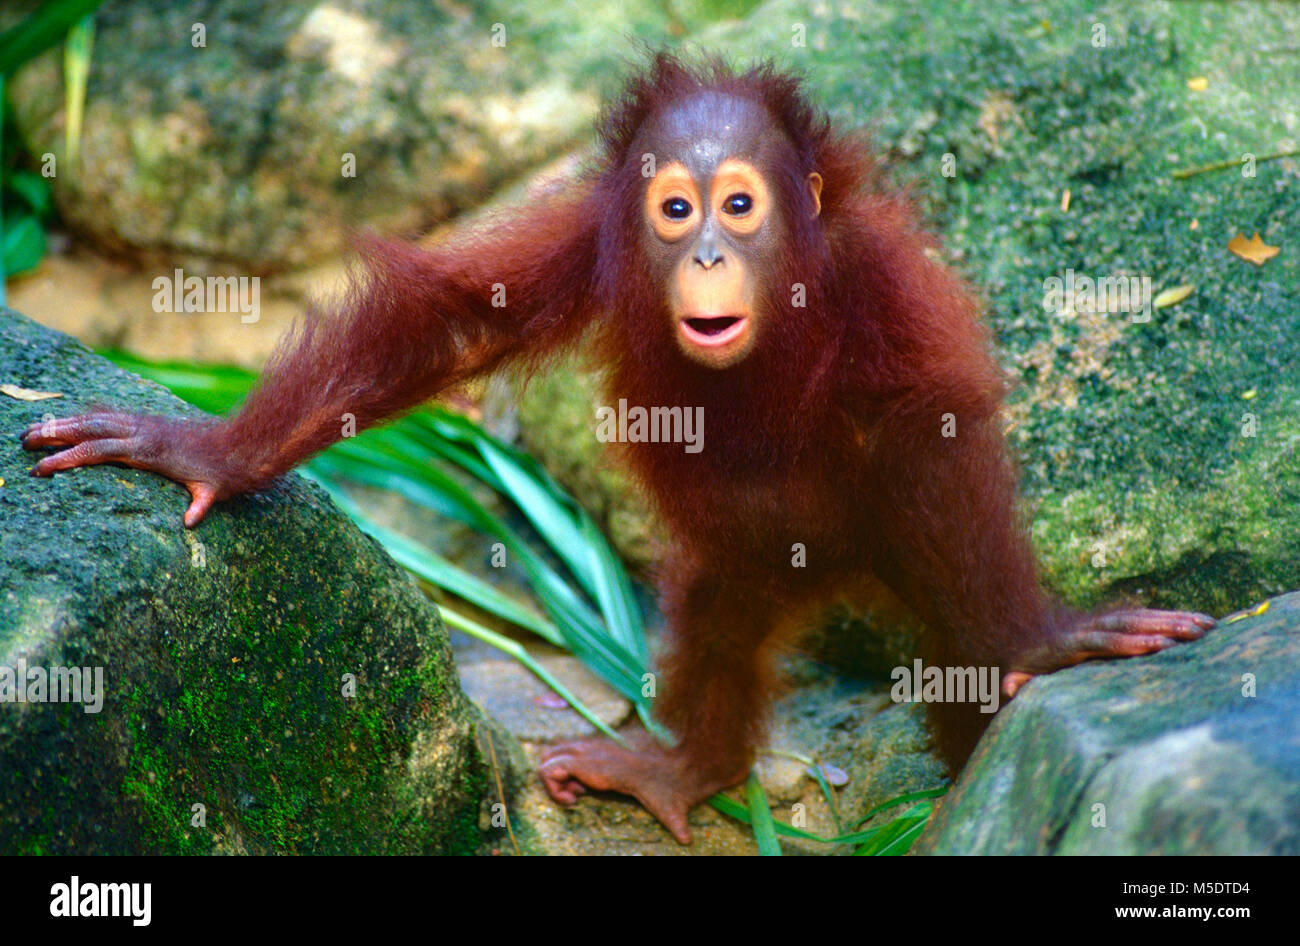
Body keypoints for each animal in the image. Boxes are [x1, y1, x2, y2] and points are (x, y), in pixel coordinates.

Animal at [22, 54, 1214, 844]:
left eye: (740, 203)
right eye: (675, 208)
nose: (709, 253)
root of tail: (834, 572)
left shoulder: (875, 278)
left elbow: (931, 427)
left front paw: (1041, 641)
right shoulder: (583, 235)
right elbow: (453, 326)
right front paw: (203, 449)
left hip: (901, 547)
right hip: (747, 565)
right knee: (722, 612)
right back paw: (689, 770)